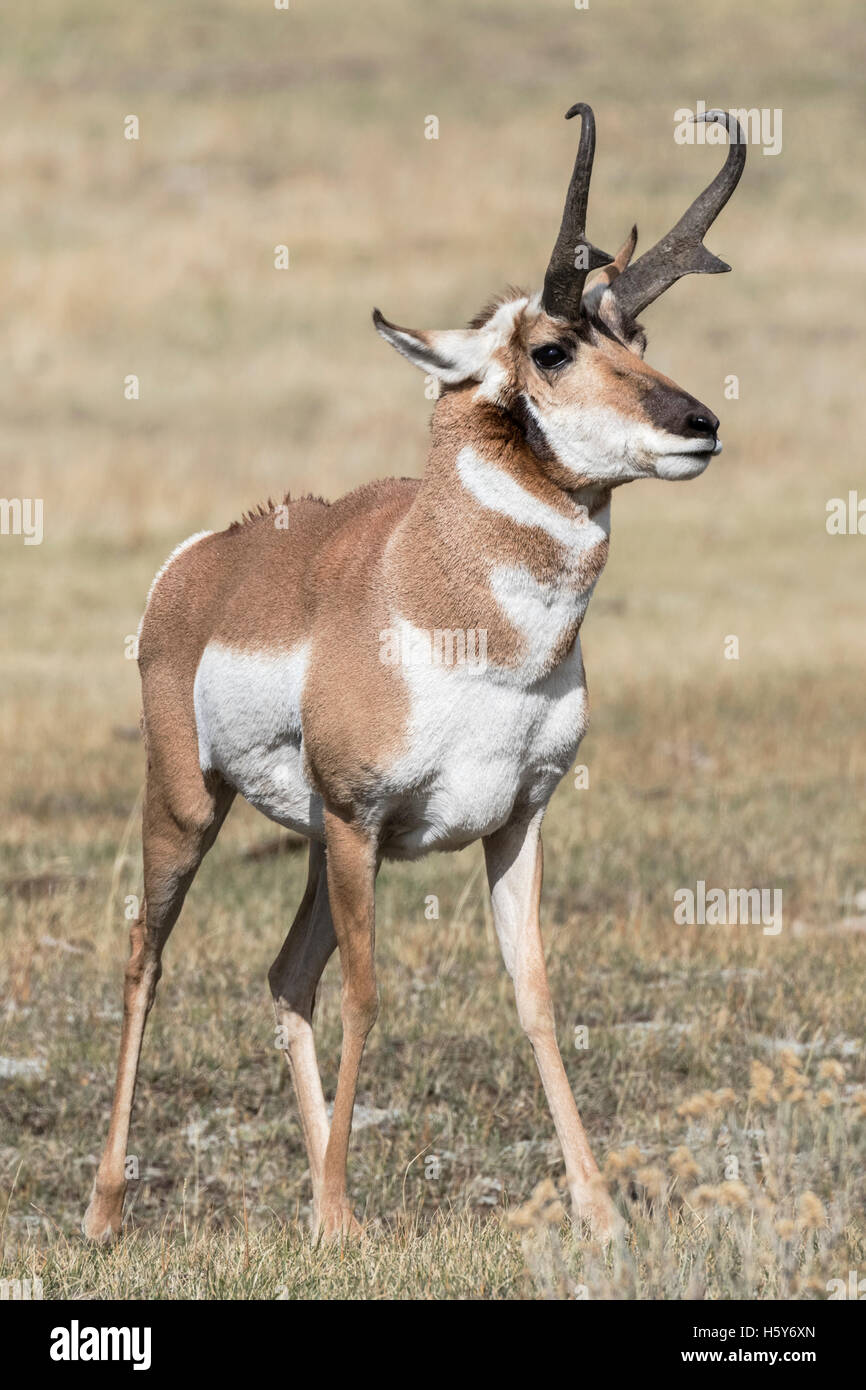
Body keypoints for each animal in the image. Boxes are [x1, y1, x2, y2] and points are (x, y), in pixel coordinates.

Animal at [84, 103, 745, 1244]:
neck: (454, 617)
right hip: (191, 806)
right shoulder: (361, 821)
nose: (696, 422)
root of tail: (204, 557)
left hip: (313, 844)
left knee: (283, 974)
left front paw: (599, 1213)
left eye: (640, 339)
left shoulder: (517, 820)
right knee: (146, 958)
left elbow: (533, 995)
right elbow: (367, 994)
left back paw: (318, 1197)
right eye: (552, 347)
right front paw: (340, 1214)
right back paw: (108, 1209)